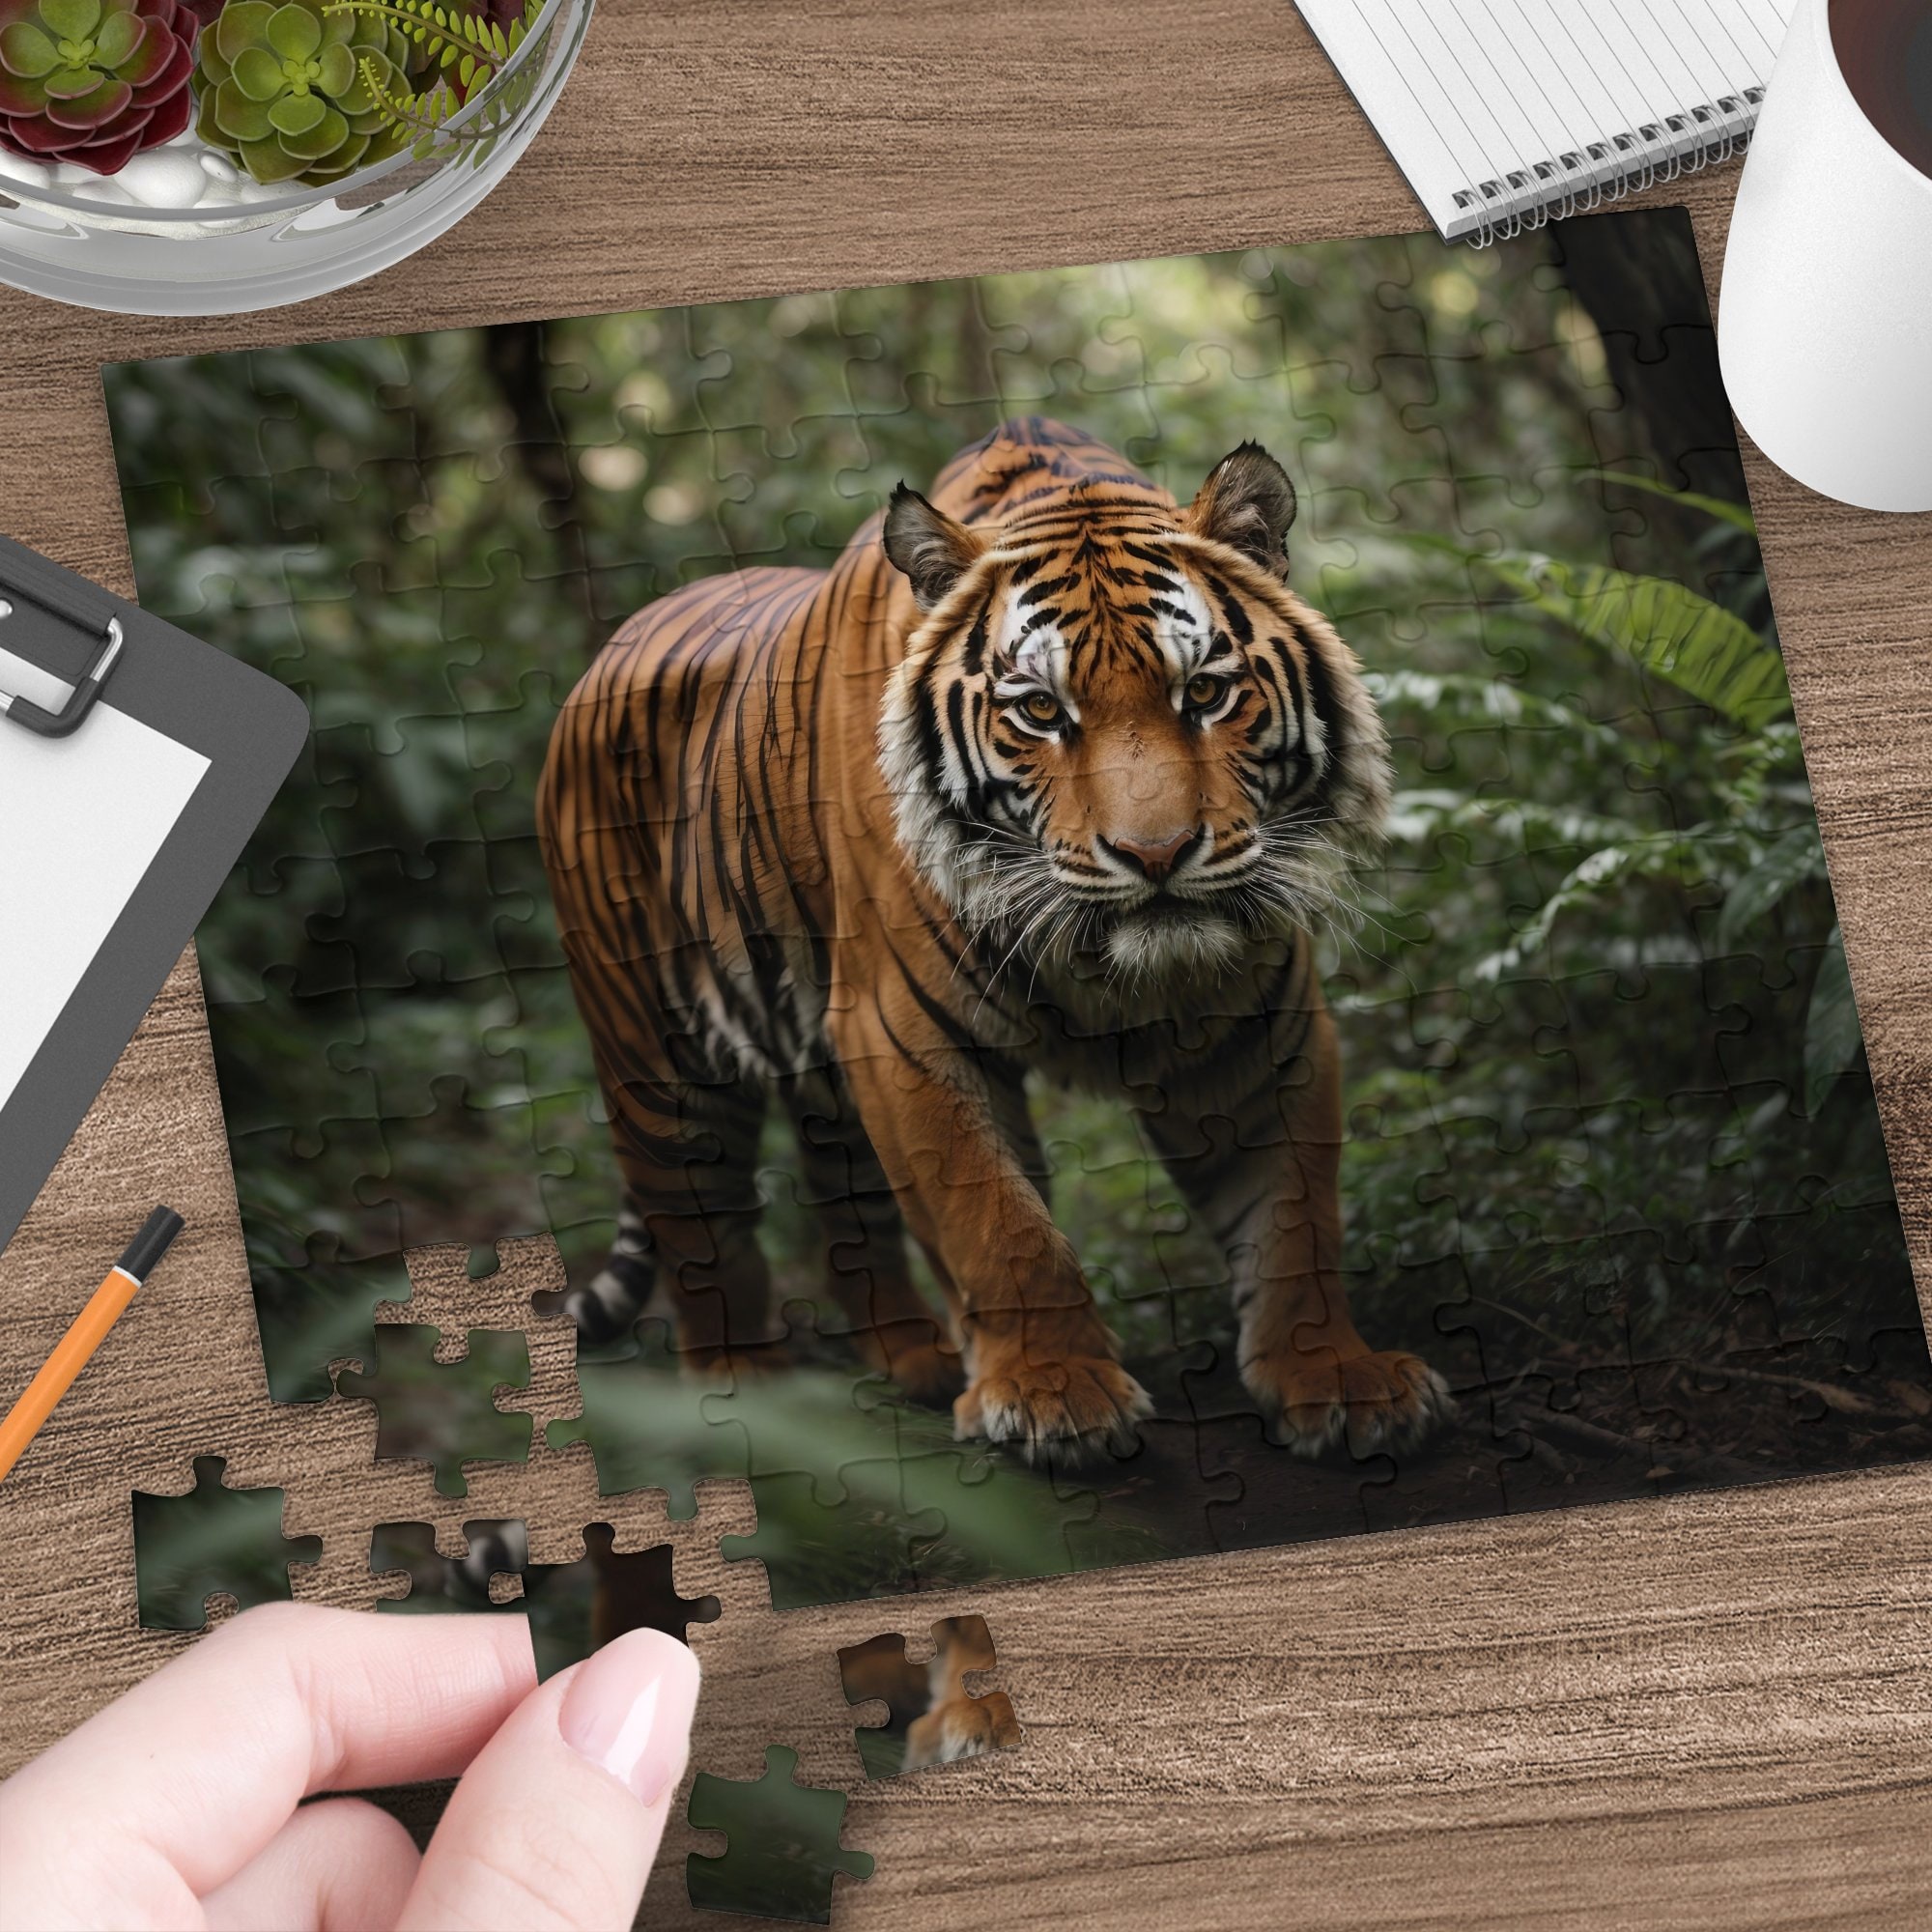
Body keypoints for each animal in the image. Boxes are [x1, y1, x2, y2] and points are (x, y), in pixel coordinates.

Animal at [537, 415, 1450, 1462]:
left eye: (1205, 693)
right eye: (1040, 711)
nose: (1155, 853)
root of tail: (613, 644)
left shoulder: (1263, 1030)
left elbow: (1293, 1218)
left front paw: (1335, 1378)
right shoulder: (902, 1028)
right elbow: (998, 1221)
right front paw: (1053, 1395)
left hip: (820, 1067)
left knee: (845, 1202)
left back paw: (916, 1362)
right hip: (656, 1057)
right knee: (704, 1232)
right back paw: (740, 1393)